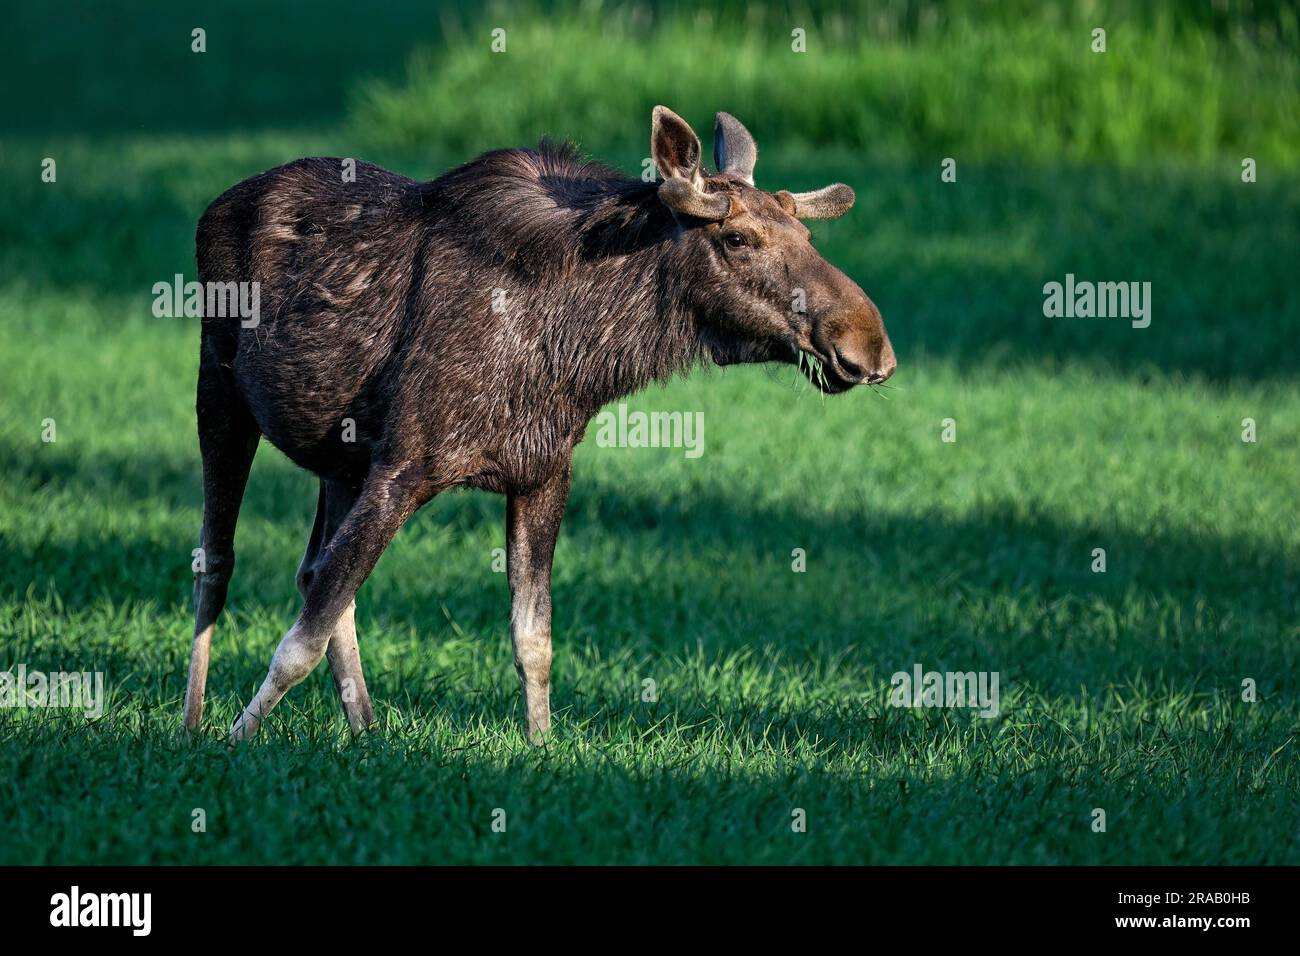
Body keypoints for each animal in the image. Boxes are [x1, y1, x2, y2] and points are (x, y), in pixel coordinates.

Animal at [184, 107, 895, 745]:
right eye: (737, 239)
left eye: (809, 239)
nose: (870, 345)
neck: (577, 352)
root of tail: (215, 205)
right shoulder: (403, 466)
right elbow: (299, 642)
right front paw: (236, 739)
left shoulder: (542, 475)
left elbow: (534, 639)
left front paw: (542, 749)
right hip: (220, 392)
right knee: (218, 560)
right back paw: (193, 722)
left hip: (341, 460)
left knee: (316, 577)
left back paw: (367, 731)